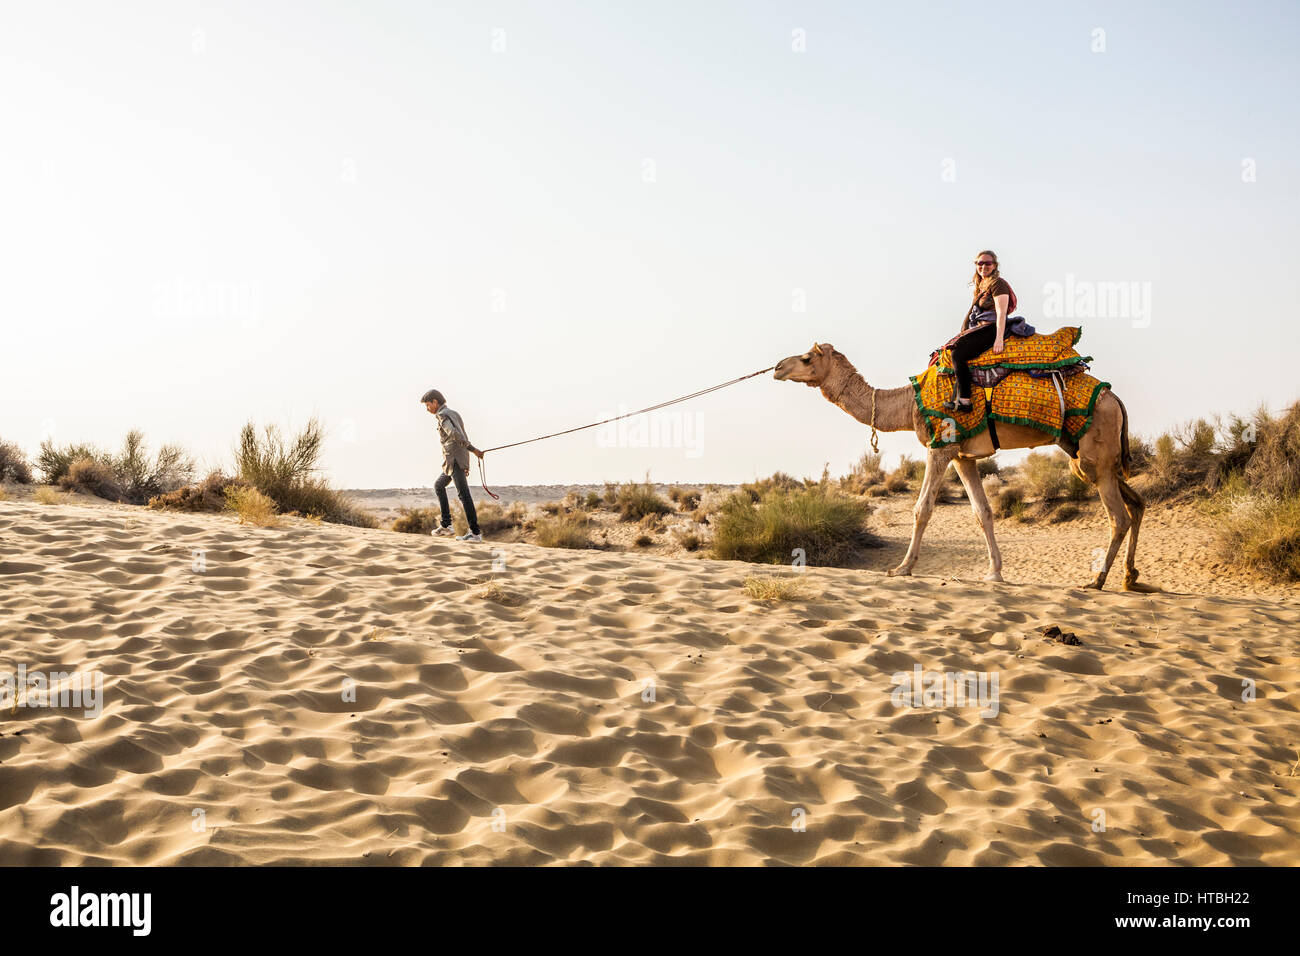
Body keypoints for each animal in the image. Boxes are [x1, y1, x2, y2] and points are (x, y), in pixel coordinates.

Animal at [773, 342, 1155, 592]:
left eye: (806, 358)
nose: (777, 367)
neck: (908, 403)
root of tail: (1114, 398)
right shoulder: (963, 456)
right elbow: (982, 512)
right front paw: (995, 573)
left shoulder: (941, 447)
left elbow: (922, 508)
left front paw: (902, 568)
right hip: (1085, 453)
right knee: (1136, 503)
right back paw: (1129, 576)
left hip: (1094, 453)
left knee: (1118, 516)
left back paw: (1097, 579)